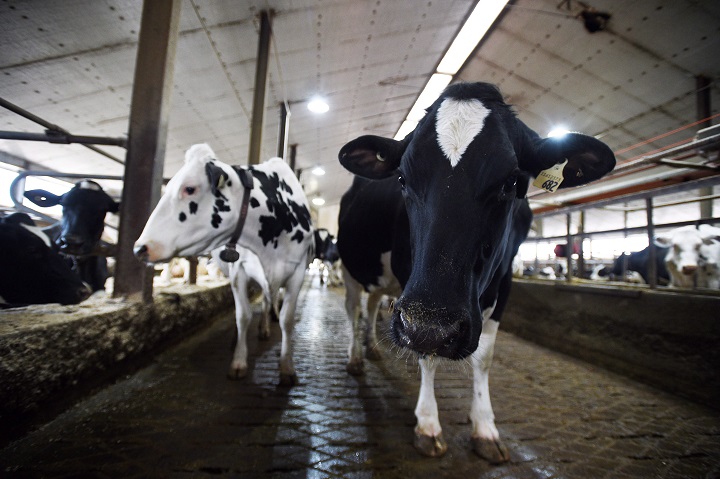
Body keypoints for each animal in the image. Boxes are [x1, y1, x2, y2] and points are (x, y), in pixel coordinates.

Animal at [134, 144, 314, 386]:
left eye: (189, 188)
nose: (139, 248)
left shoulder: (297, 271)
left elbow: (286, 319)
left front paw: (287, 368)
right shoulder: (239, 271)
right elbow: (243, 315)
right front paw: (238, 362)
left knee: (268, 301)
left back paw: (264, 328)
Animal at [337, 82, 615, 462]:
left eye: (512, 182)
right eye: (403, 179)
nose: (434, 325)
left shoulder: (504, 283)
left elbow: (484, 358)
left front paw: (485, 427)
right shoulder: (414, 293)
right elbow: (426, 352)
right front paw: (428, 424)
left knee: (371, 304)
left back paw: (373, 349)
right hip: (351, 268)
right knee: (353, 309)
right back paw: (355, 358)